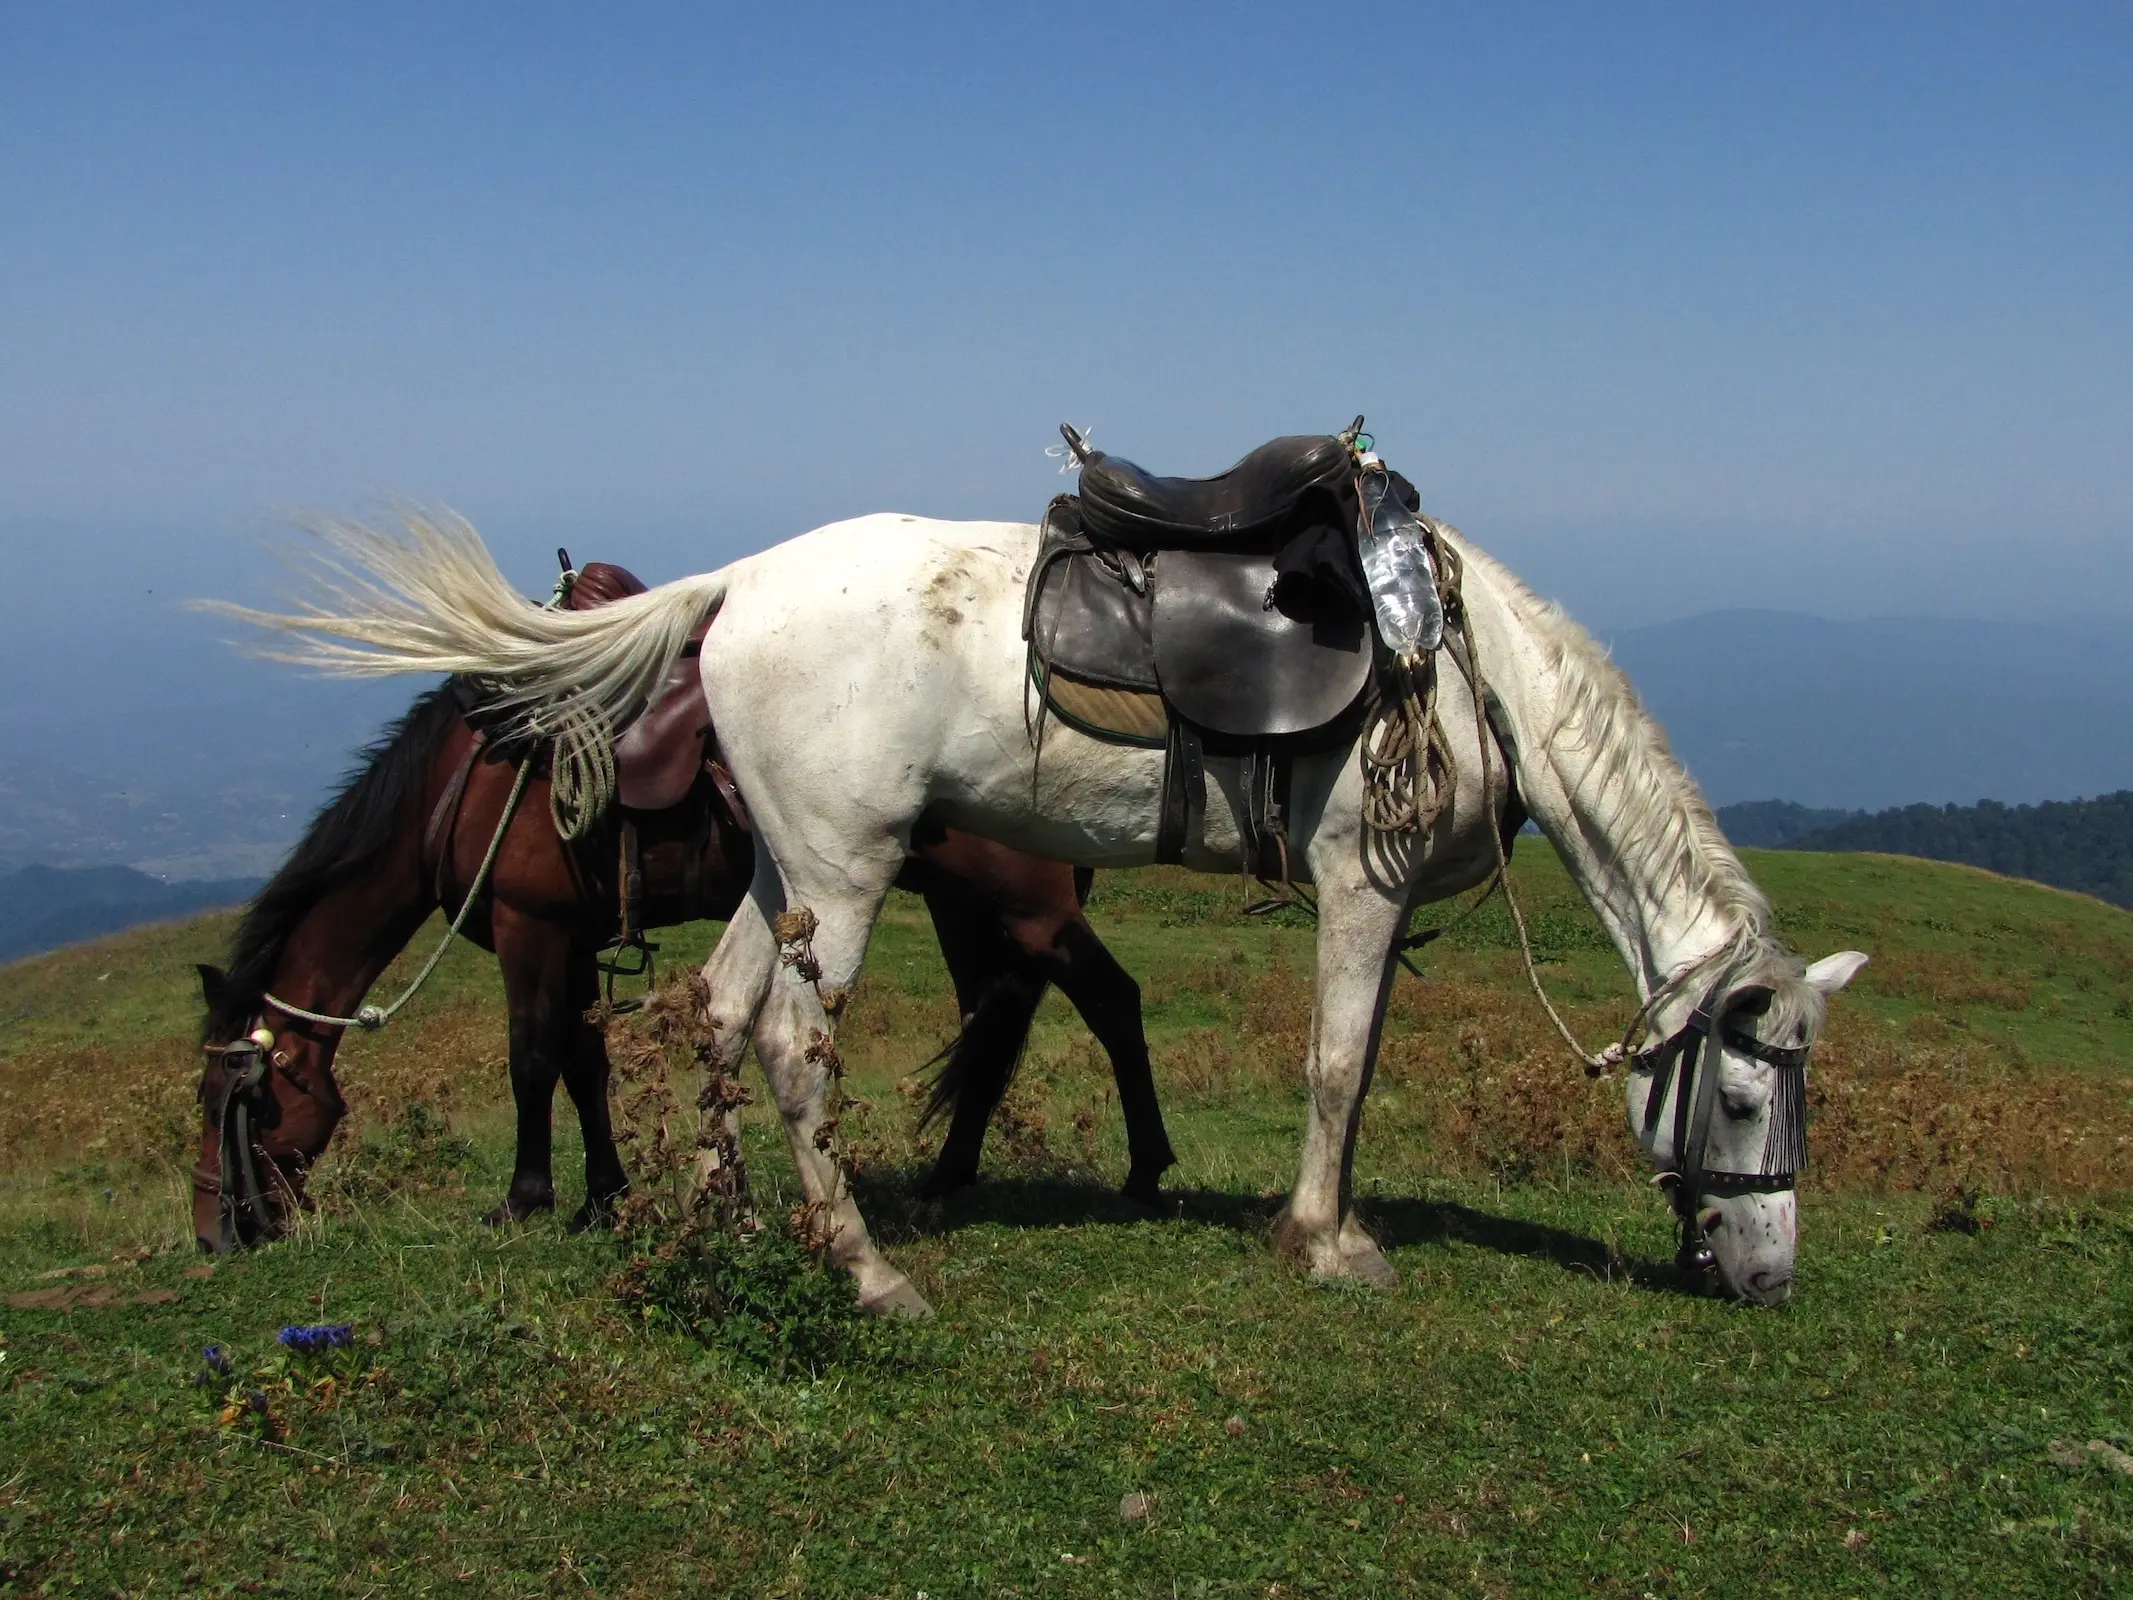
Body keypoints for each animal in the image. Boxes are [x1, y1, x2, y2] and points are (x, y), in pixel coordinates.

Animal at [192, 679, 1177, 1253]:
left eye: (229, 1105)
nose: (216, 1232)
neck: (466, 782)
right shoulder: (571, 939)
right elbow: (584, 1068)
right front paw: (602, 1197)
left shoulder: (529, 929)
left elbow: (532, 1062)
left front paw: (523, 1198)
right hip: (966, 908)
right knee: (991, 1024)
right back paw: (947, 1178)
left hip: (1029, 911)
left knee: (1110, 1002)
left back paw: (1144, 1171)